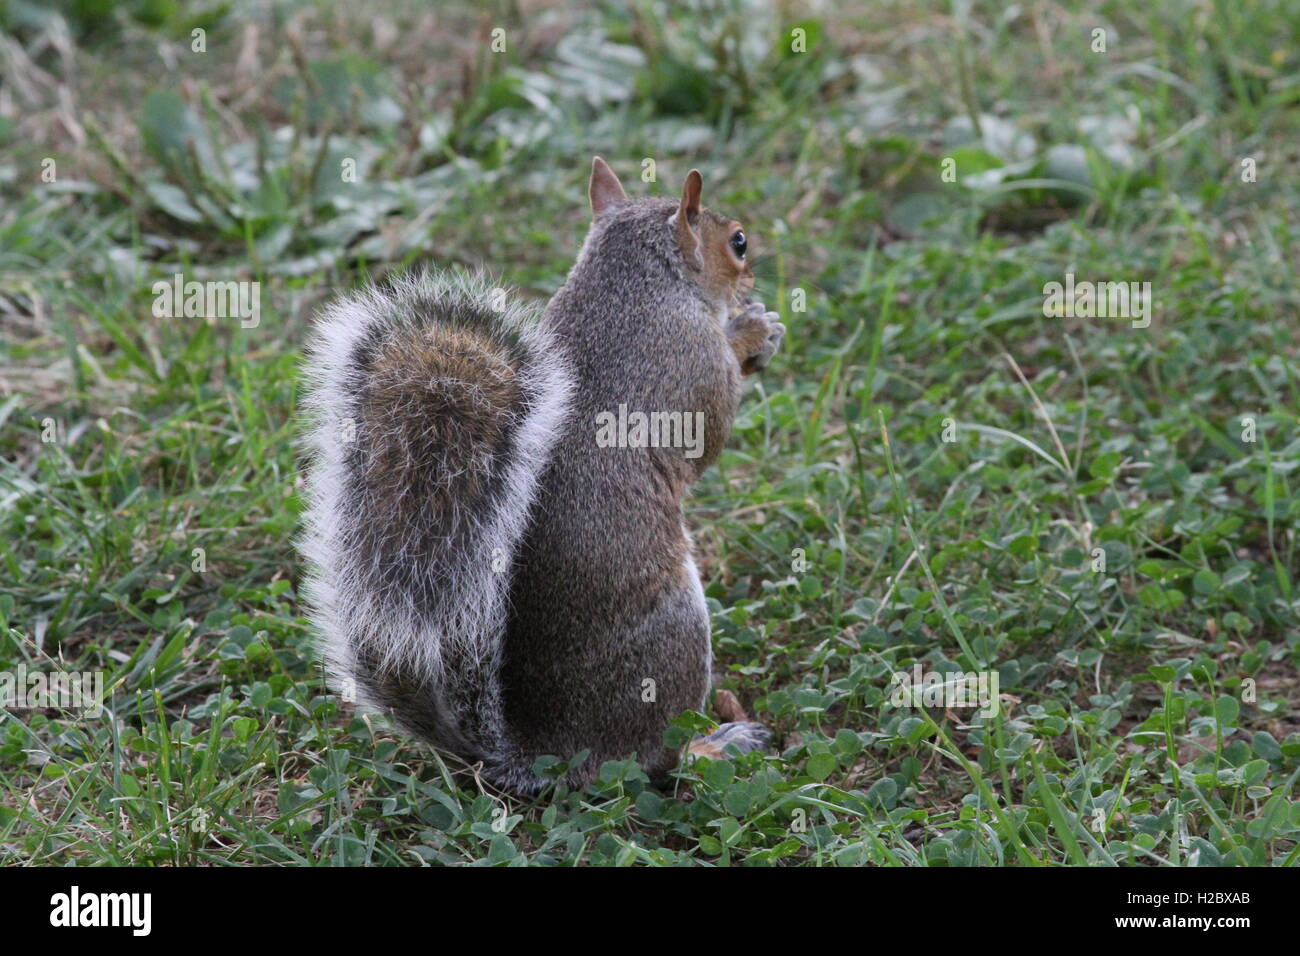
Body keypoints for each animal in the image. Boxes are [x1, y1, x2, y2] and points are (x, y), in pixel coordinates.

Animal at [298, 157, 785, 794]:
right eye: (739, 242)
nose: (753, 281)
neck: (633, 287)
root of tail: (544, 755)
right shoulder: (688, 366)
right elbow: (710, 434)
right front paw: (752, 332)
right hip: (674, 638)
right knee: (657, 760)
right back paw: (717, 745)